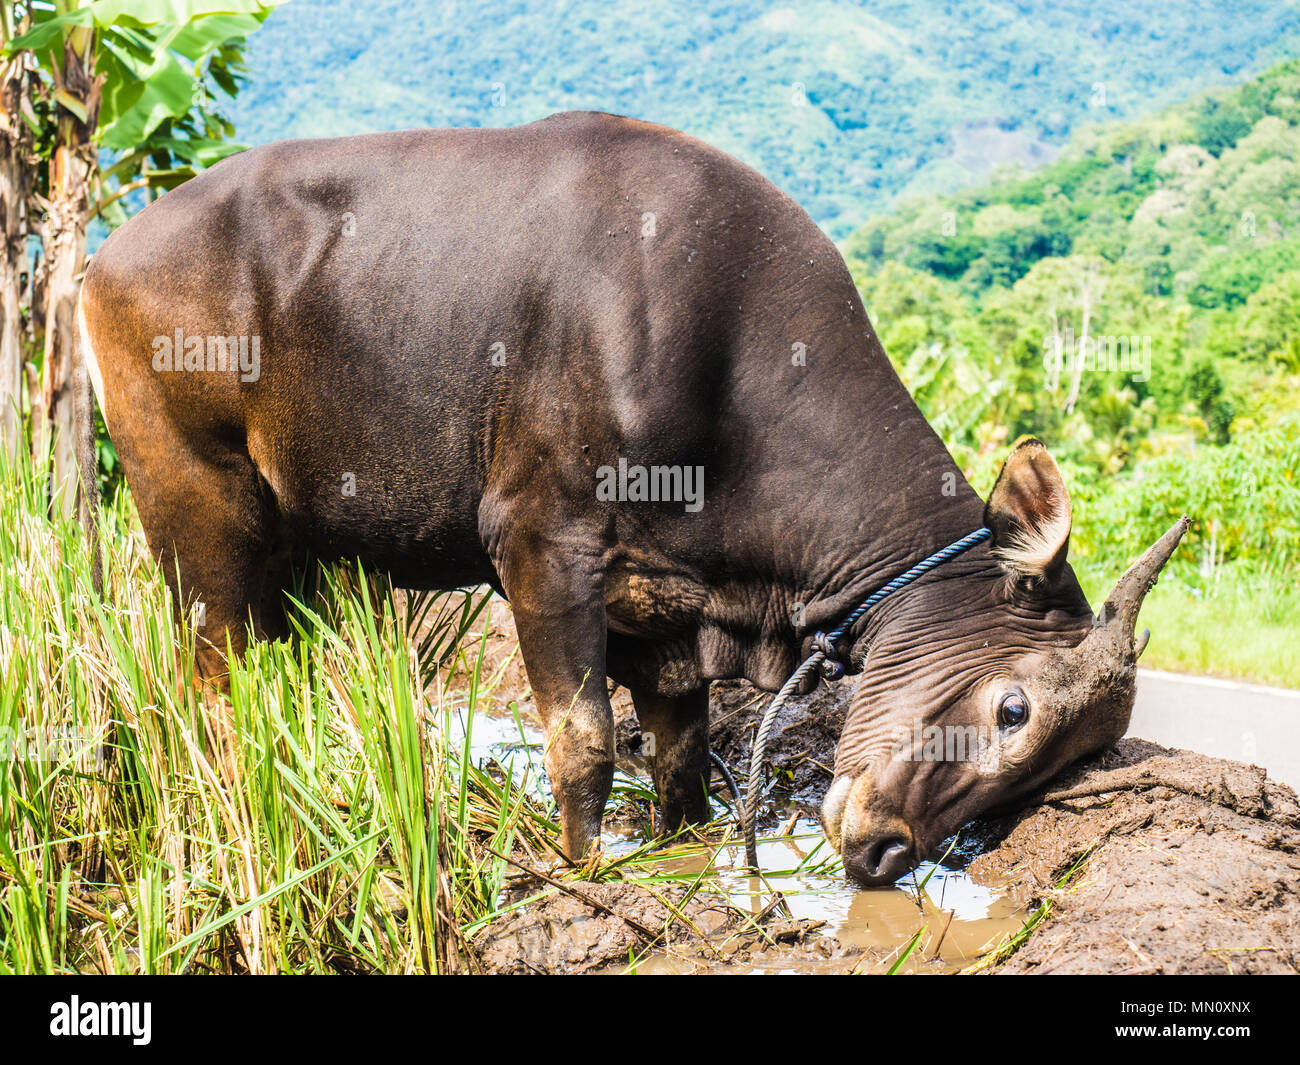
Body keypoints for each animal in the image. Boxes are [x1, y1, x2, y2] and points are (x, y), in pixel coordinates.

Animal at [78, 111, 1186, 884]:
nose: (883, 853)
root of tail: (104, 256)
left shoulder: (665, 609)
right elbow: (583, 746)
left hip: (297, 552)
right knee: (212, 690)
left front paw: (677, 849)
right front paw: (583, 870)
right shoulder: (540, 548)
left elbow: (681, 755)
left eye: (1053, 770)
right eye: (1013, 706)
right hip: (202, 523)